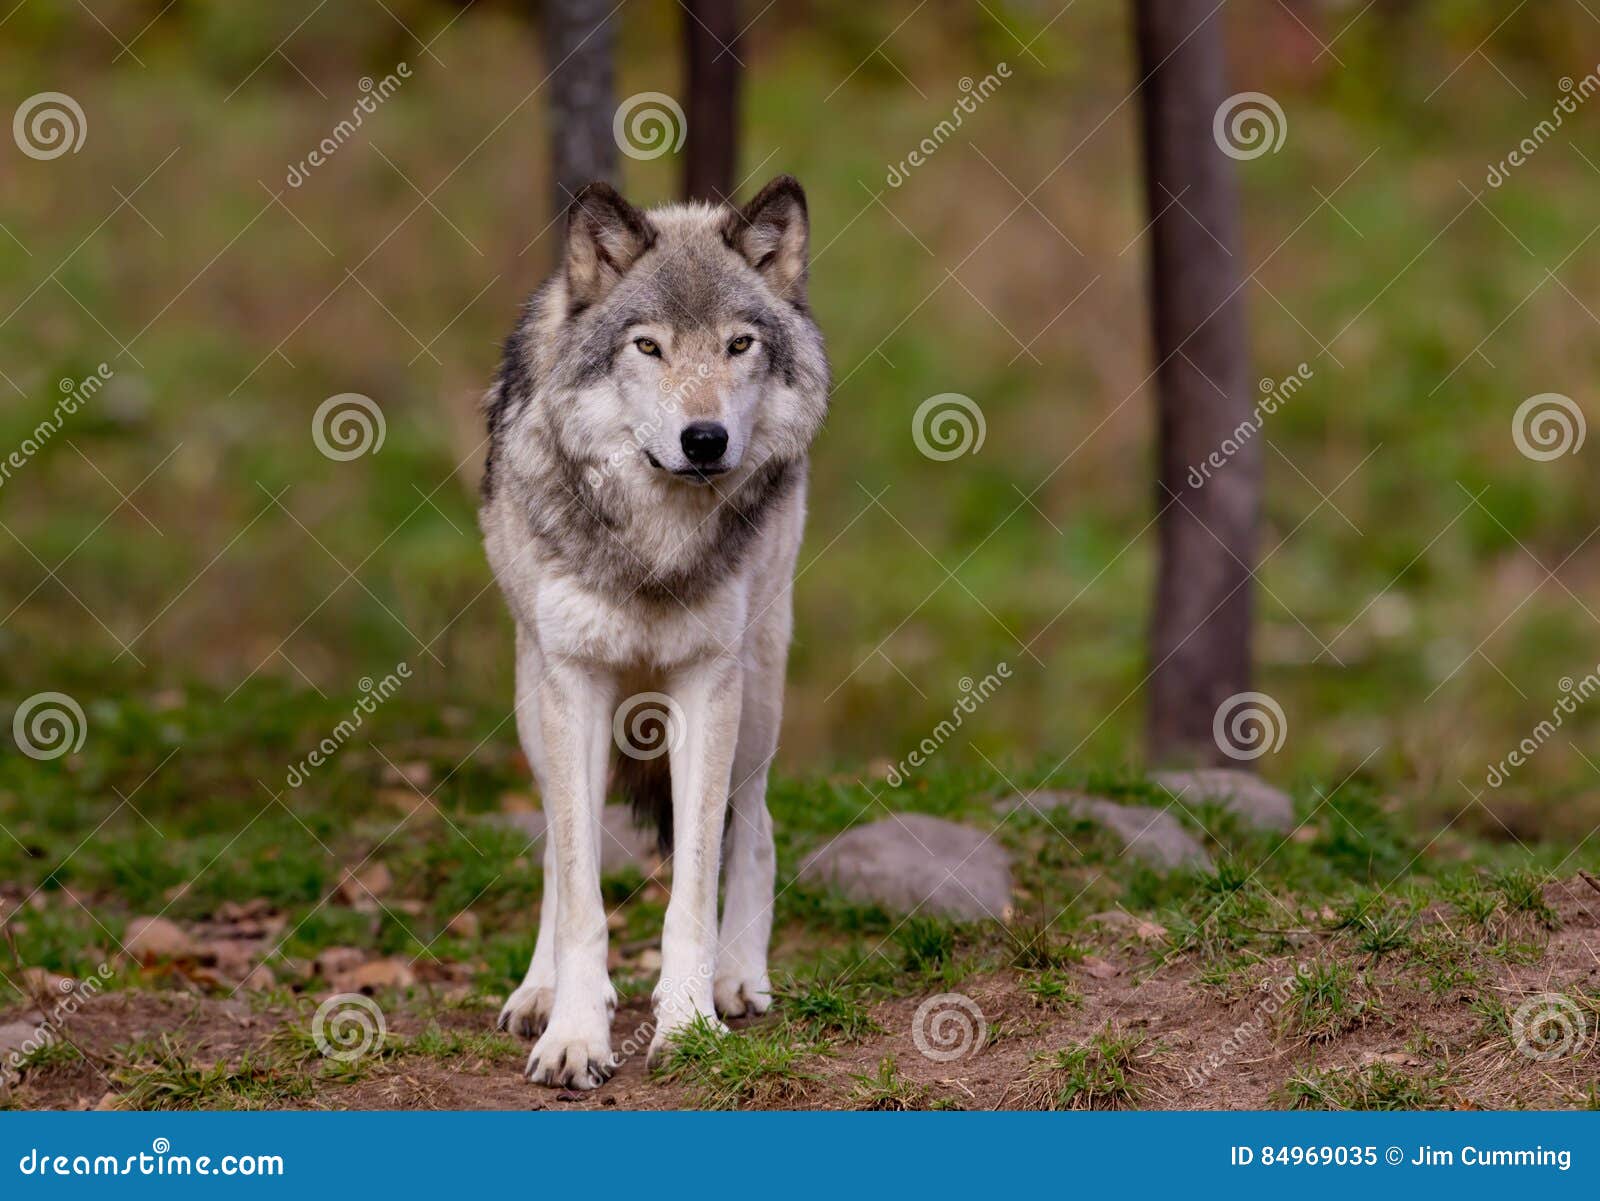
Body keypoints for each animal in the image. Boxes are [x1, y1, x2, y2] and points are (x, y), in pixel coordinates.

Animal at [478, 175, 829, 1088]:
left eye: (739, 344)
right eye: (648, 347)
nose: (704, 439)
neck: (653, 545)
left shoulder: (709, 683)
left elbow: (693, 890)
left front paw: (690, 1022)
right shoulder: (572, 683)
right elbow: (580, 893)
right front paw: (572, 1032)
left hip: (758, 696)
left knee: (757, 828)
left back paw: (739, 976)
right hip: (533, 703)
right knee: (556, 853)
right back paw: (537, 990)